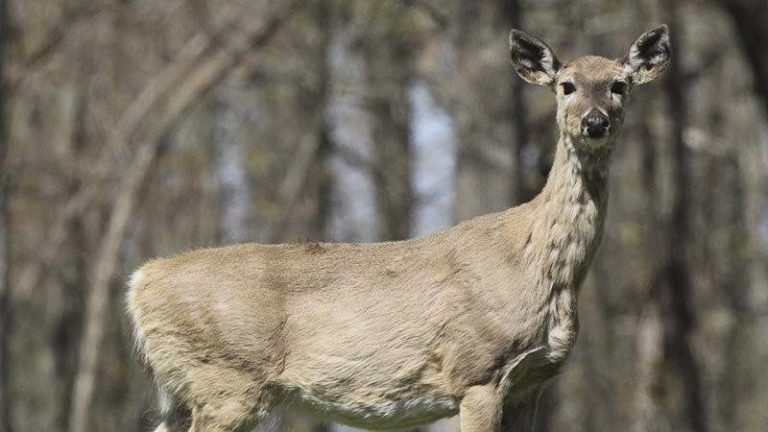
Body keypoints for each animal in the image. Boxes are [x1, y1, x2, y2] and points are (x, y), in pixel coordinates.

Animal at [127, 25, 671, 432]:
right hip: (224, 380)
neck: (537, 264)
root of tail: (140, 281)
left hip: (184, 392)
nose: (595, 122)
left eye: (619, 84)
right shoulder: (476, 372)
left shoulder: (532, 384)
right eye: (566, 85)